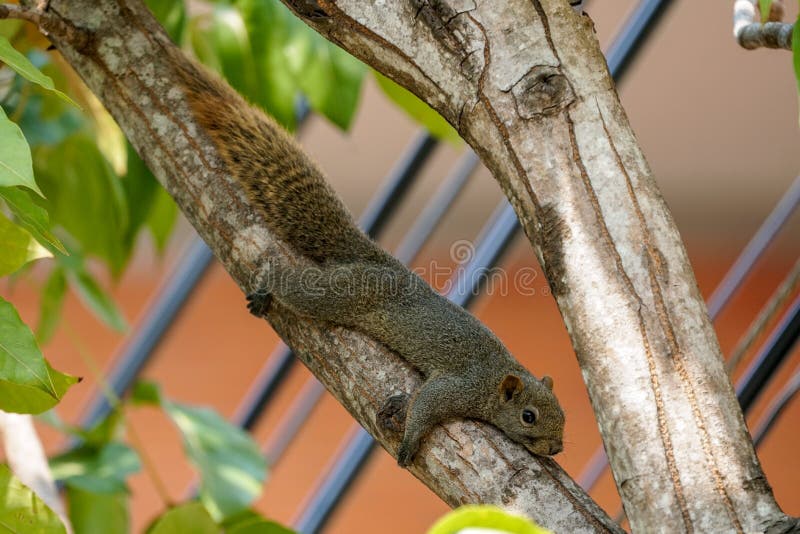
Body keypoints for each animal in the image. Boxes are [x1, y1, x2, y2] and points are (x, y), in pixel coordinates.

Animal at [175, 56, 565, 467]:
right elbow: (426, 403)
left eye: (563, 415)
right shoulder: (459, 386)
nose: (557, 447)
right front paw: (409, 442)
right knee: (294, 286)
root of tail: (371, 259)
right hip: (344, 293)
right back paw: (268, 286)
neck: (496, 376)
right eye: (528, 416)